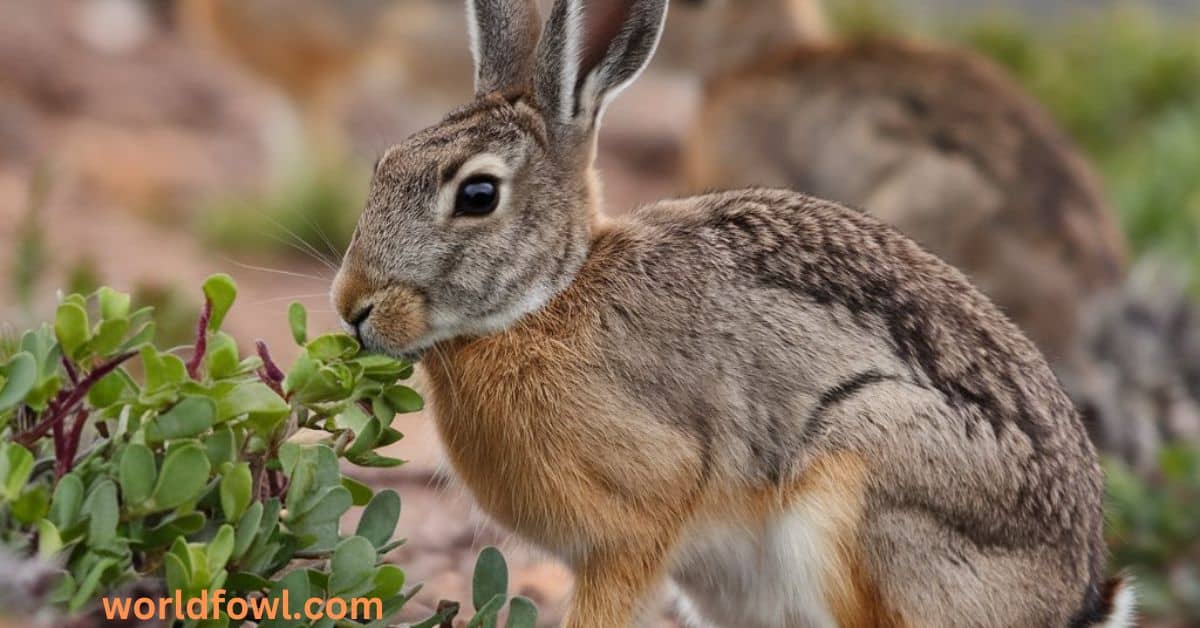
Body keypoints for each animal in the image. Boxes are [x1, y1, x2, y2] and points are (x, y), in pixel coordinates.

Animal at [331, 0, 1132, 626]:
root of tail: (1073, 599)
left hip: (864, 477)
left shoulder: (635, 527)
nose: (350, 307)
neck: (546, 301)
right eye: (382, 167)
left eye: (477, 195)